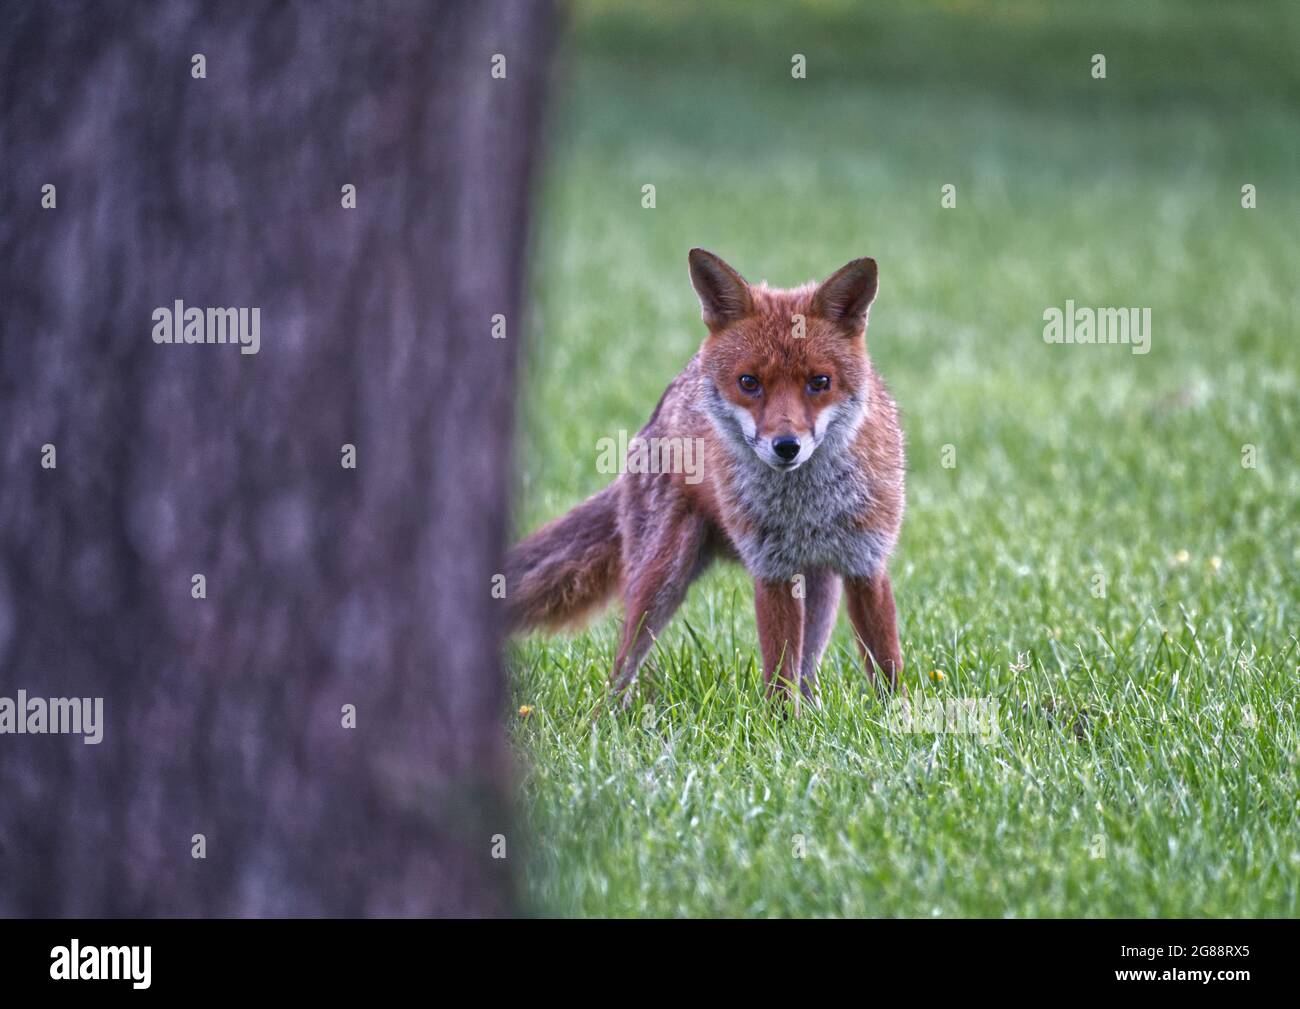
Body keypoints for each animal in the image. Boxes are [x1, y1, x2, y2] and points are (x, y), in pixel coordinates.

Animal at [506, 249, 905, 713]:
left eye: (819, 382)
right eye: (749, 382)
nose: (786, 446)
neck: (808, 506)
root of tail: (661, 409)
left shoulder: (866, 563)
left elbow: (886, 665)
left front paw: (896, 718)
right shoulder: (771, 570)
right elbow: (778, 673)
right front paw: (781, 725)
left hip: (820, 587)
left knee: (808, 667)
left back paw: (812, 710)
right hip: (662, 578)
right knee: (622, 664)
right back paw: (608, 716)